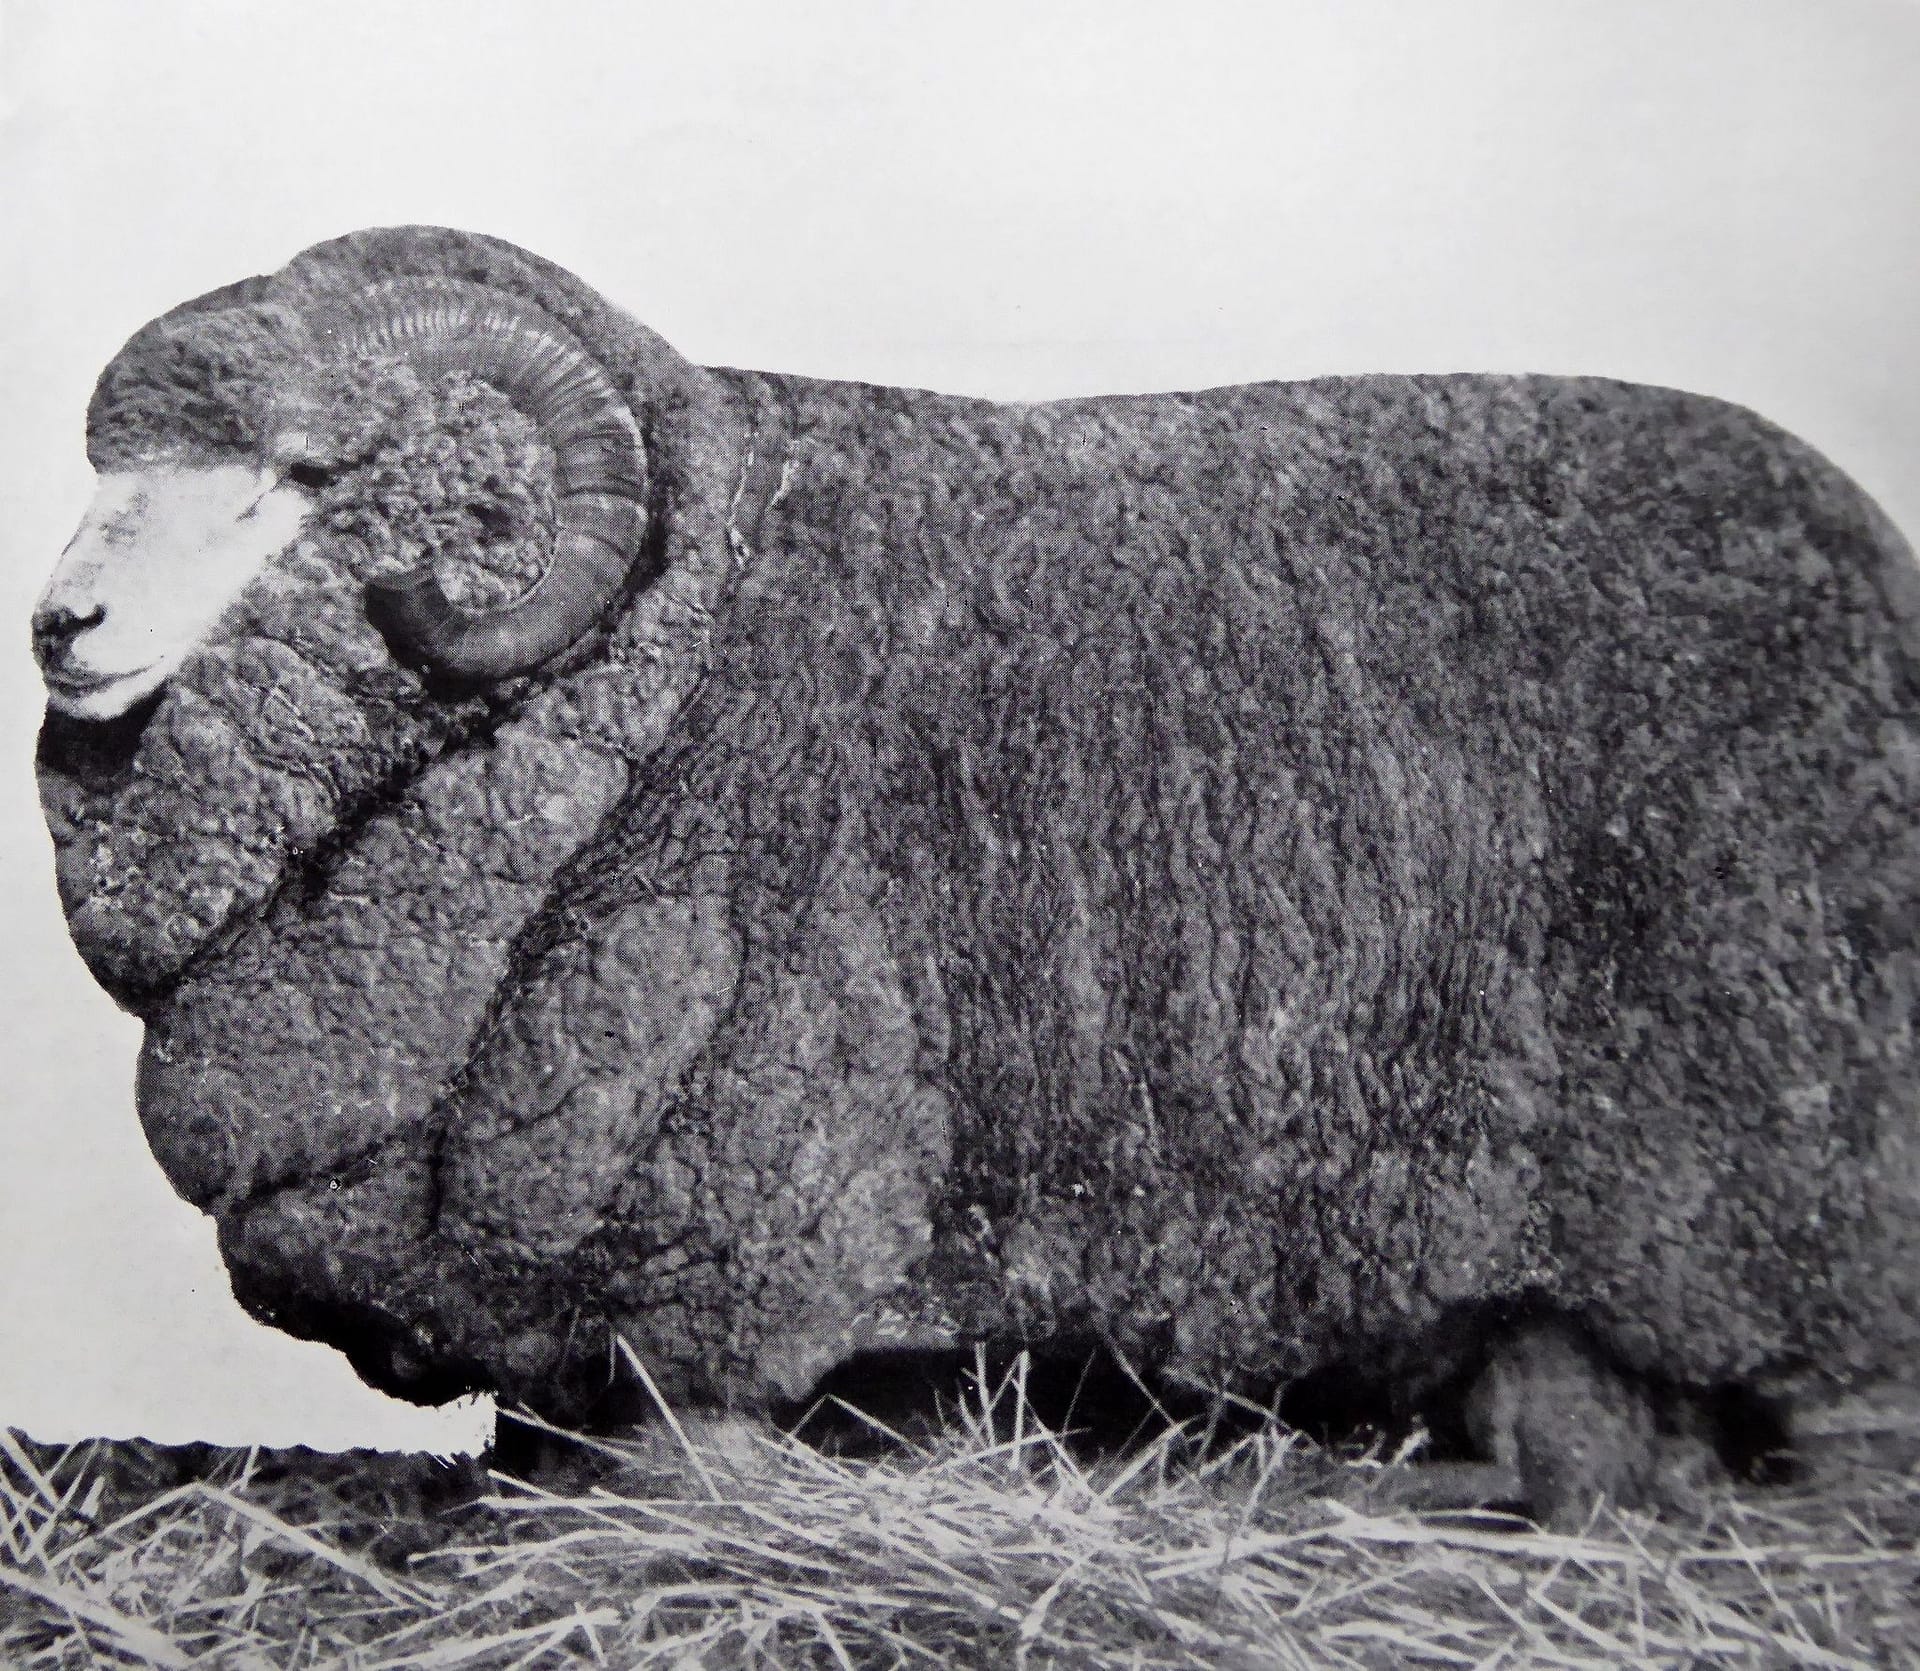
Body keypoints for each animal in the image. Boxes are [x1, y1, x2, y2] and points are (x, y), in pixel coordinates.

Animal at [32, 224, 1920, 1525]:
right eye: (119, 468)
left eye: (305, 479)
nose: (59, 626)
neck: (653, 683)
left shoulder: (730, 1231)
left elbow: (683, 1471)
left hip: (1727, 1185)